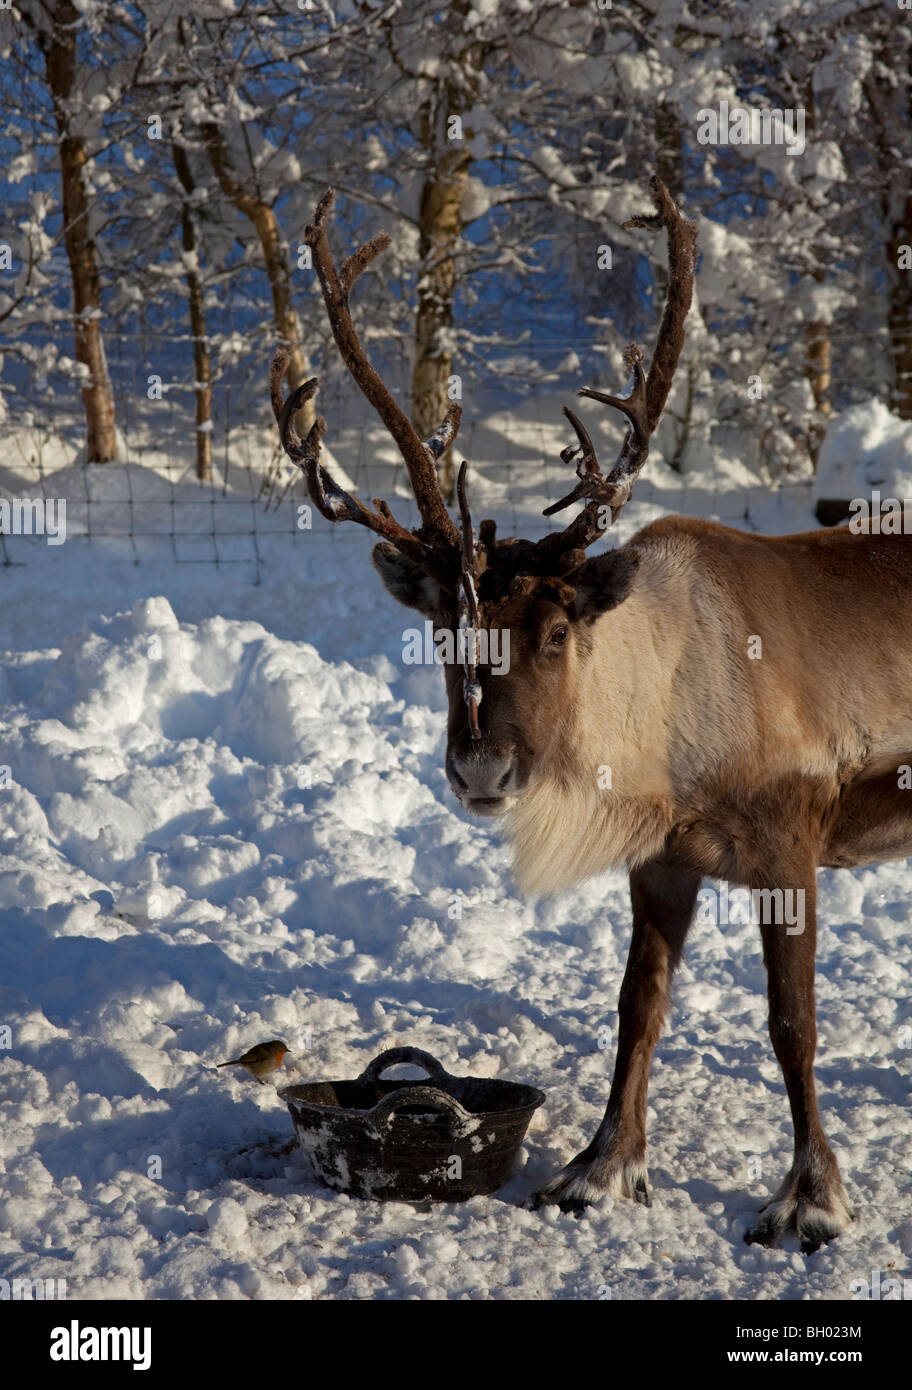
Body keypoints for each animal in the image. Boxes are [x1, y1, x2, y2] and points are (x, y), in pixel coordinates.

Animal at [270, 177, 912, 1254]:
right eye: (445, 626)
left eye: (559, 627)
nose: (481, 768)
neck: (668, 733)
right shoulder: (663, 861)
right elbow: (636, 1007)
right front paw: (600, 1170)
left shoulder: (792, 844)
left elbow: (793, 1023)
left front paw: (812, 1199)